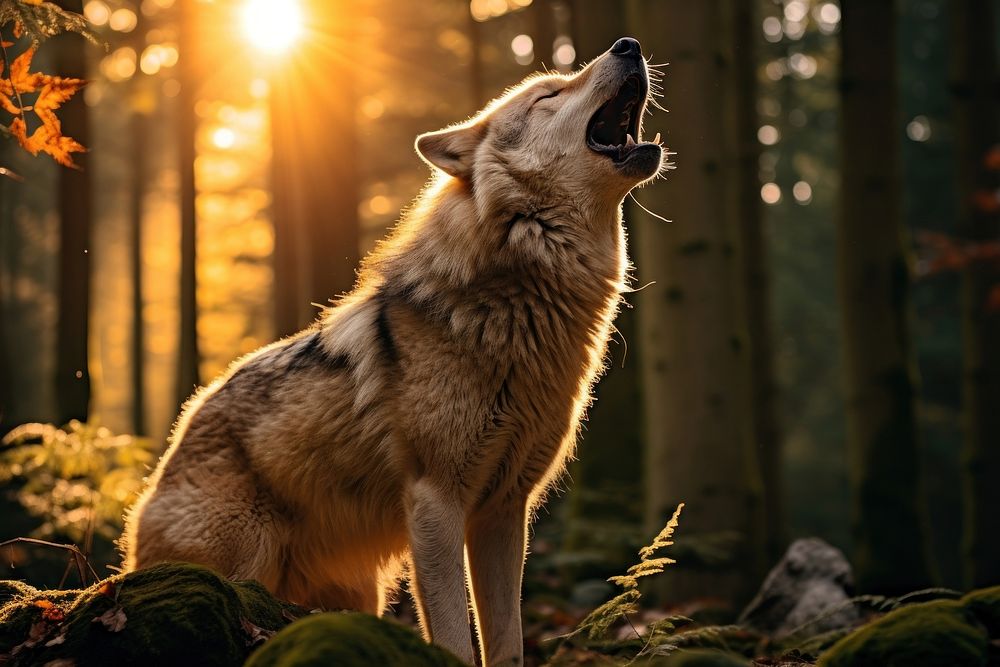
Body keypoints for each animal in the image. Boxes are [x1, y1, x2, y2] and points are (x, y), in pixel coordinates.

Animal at [121, 36, 664, 666]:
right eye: (548, 95)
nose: (629, 44)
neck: (517, 299)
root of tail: (174, 445)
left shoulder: (504, 511)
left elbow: (506, 642)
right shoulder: (435, 502)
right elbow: (454, 634)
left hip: (359, 591)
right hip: (247, 563)